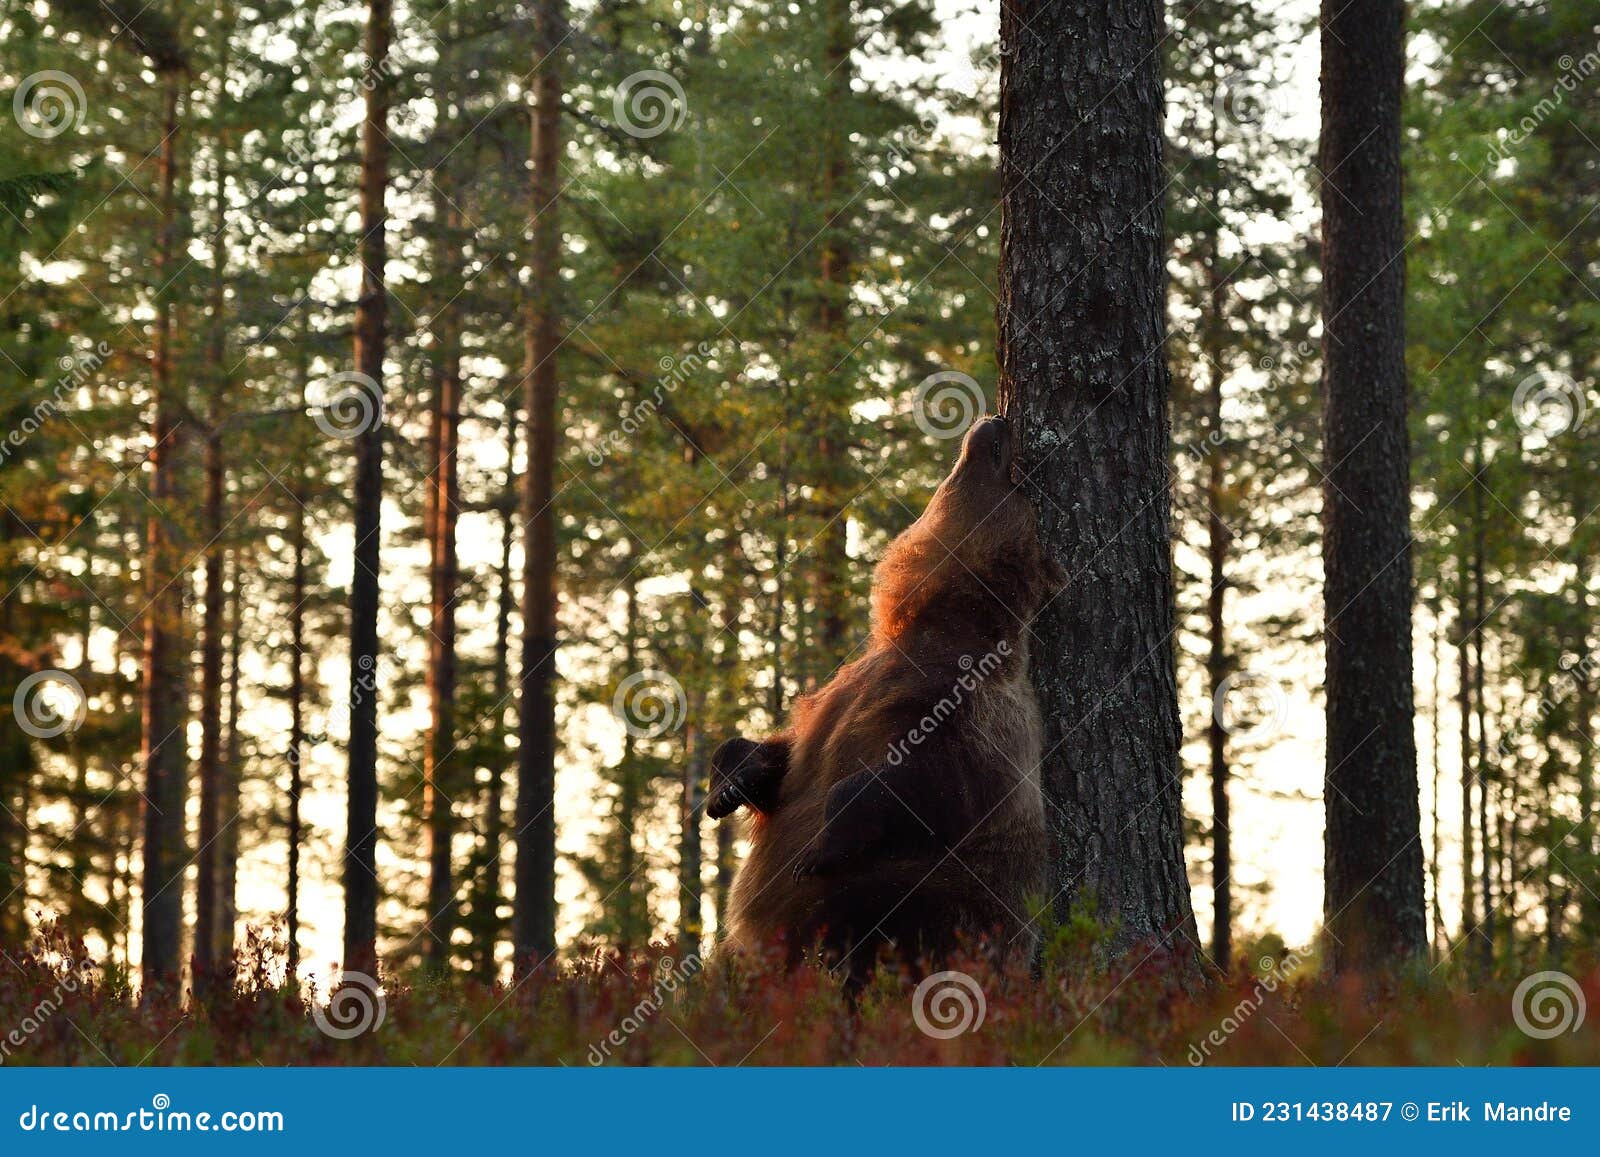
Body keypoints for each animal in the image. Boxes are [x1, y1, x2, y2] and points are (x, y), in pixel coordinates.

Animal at [707, 414, 1062, 990]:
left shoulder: (968, 714)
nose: (995, 422)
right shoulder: (844, 691)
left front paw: (820, 846)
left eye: (1012, 484)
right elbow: (780, 755)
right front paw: (727, 785)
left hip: (917, 902)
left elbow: (922, 782)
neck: (929, 620)